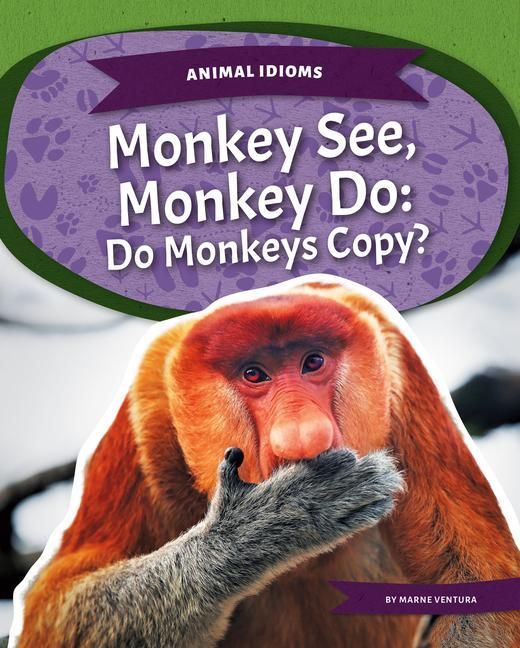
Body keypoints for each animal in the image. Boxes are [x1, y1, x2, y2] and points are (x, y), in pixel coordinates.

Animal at [12, 276, 520, 648]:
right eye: (254, 374)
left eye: (313, 361)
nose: (304, 436)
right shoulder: (146, 411)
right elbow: (53, 608)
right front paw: (281, 518)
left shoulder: (401, 373)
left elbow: (480, 592)